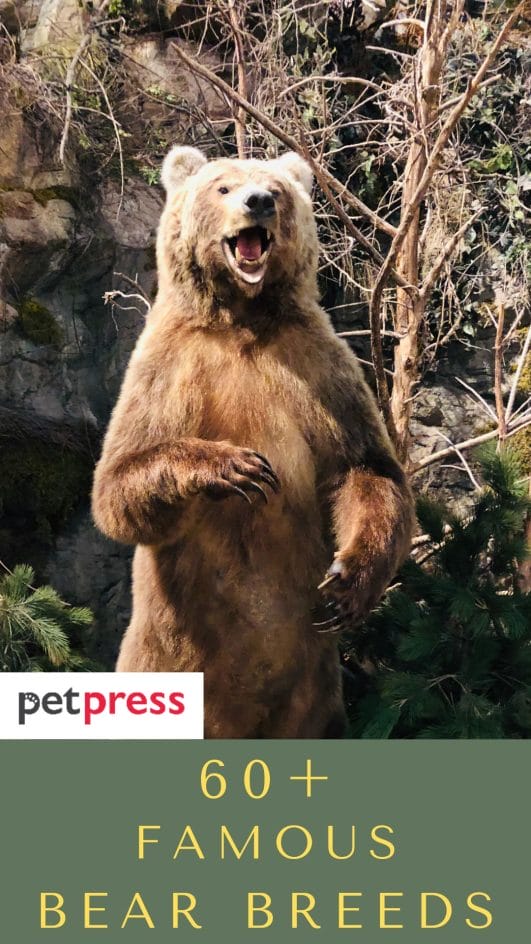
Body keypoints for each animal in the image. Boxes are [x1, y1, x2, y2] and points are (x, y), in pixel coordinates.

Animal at [92, 146, 415, 738]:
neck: (242, 318)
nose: (258, 201)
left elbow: (365, 468)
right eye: (223, 186)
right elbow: (120, 483)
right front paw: (237, 469)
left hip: (313, 687)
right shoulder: (167, 368)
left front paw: (345, 584)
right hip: (164, 655)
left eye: (277, 190)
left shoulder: (318, 365)